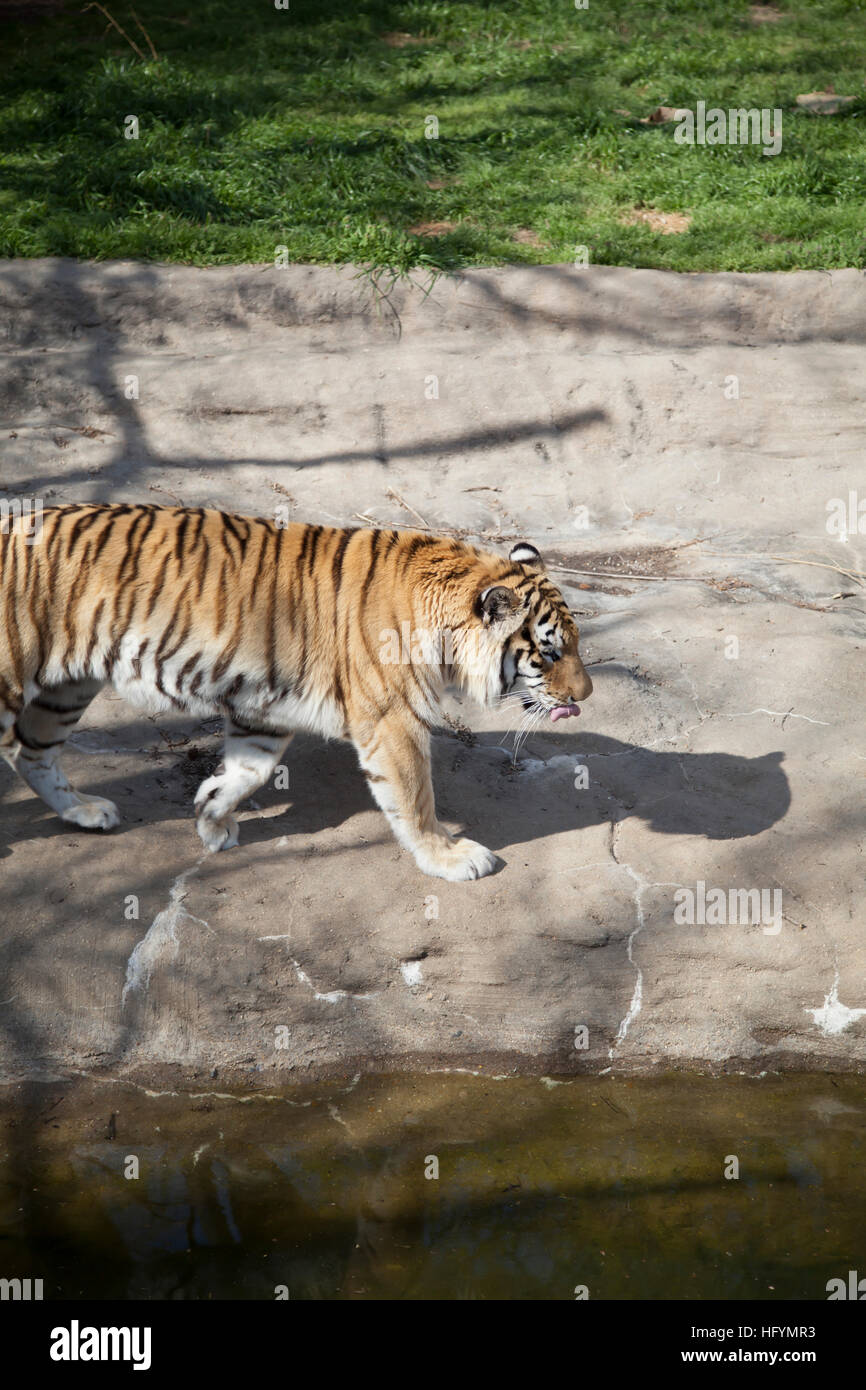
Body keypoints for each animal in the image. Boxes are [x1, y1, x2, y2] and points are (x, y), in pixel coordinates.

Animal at [0, 504, 593, 881]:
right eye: (548, 653)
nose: (585, 695)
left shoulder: (263, 707)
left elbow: (250, 770)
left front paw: (211, 818)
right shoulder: (393, 720)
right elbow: (415, 798)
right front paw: (449, 858)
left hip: (68, 686)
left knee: (32, 754)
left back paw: (85, 811)